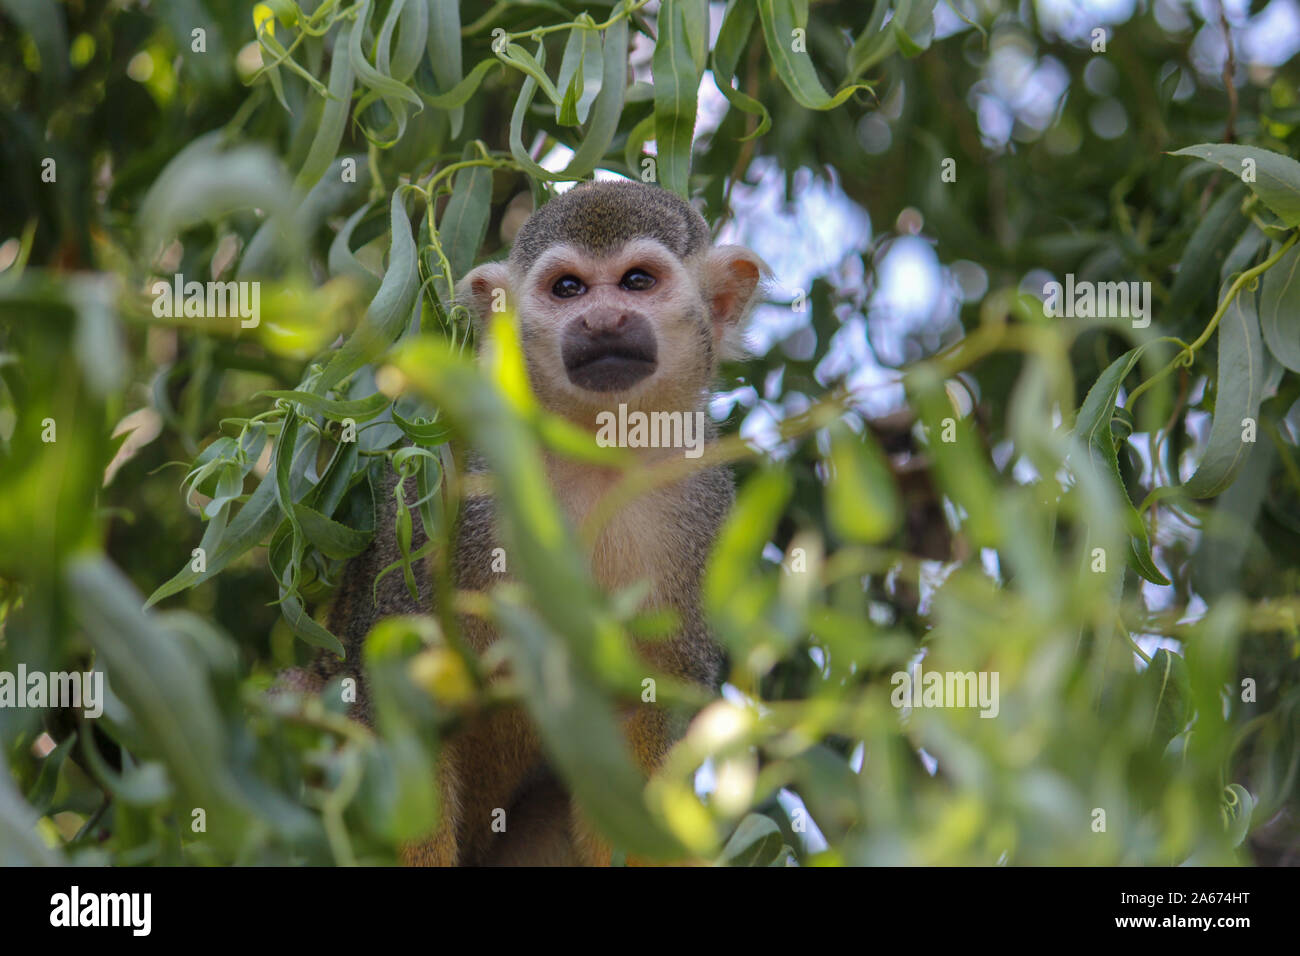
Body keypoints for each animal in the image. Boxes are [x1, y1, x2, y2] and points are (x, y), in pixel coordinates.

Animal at [283, 180, 768, 866]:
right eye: (568, 289)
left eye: (637, 281)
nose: (602, 322)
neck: (596, 448)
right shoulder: (449, 478)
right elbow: (394, 677)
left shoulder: (705, 503)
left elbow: (643, 705)